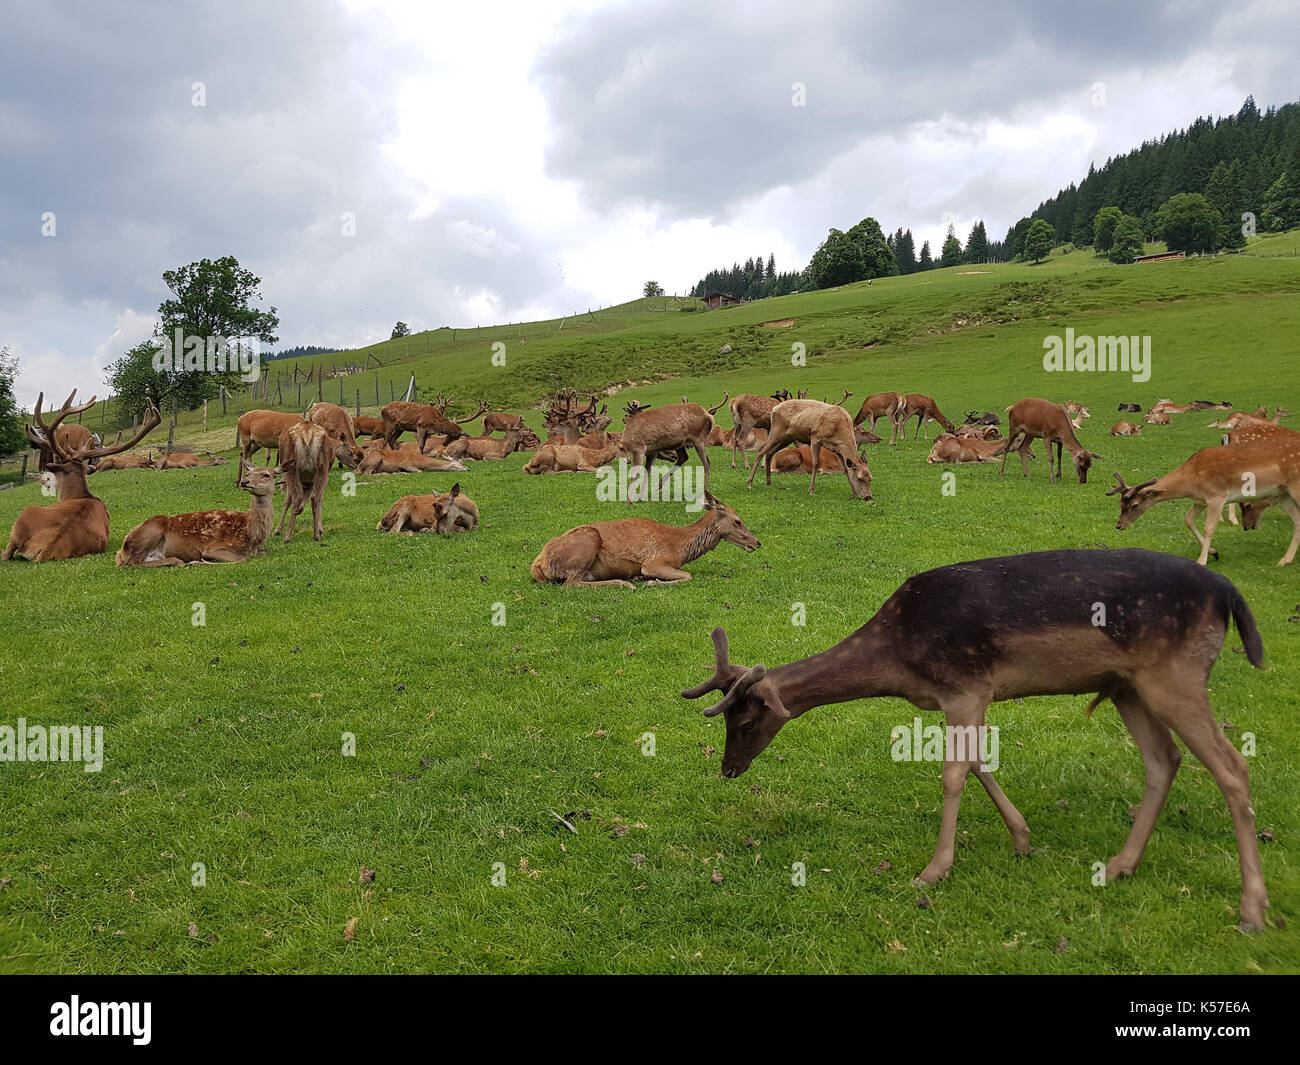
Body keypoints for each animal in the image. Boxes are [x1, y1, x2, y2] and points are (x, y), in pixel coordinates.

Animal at [116, 464, 278, 566]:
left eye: (266, 474)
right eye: (248, 473)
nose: (244, 481)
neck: (250, 534)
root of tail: (121, 550)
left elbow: (263, 552)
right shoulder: (213, 547)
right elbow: (242, 558)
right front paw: (197, 562)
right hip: (152, 530)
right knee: (131, 562)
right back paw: (179, 562)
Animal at [530, 492, 759, 589]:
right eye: (738, 521)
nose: (757, 542)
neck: (680, 548)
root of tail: (539, 564)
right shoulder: (654, 561)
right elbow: (687, 575)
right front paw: (652, 582)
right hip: (586, 541)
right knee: (570, 583)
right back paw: (624, 583)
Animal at [680, 548, 1271, 931]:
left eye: (746, 722)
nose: (728, 768)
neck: (900, 658)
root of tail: (1230, 595)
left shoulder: (965, 687)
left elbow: (953, 773)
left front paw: (933, 871)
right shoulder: (965, 697)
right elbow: (981, 762)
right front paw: (1023, 839)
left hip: (1177, 674)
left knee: (1231, 766)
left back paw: (1252, 909)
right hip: (1128, 685)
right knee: (1163, 760)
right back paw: (1122, 865)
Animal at [1108, 435, 1300, 566]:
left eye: (1134, 505)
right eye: (1120, 504)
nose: (1119, 525)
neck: (1190, 481)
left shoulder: (1217, 496)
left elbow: (1209, 527)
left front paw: (1202, 560)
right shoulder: (1200, 500)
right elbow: (1187, 519)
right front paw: (1215, 552)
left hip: (1295, 488)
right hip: (1283, 493)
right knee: (1298, 520)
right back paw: (1285, 560)